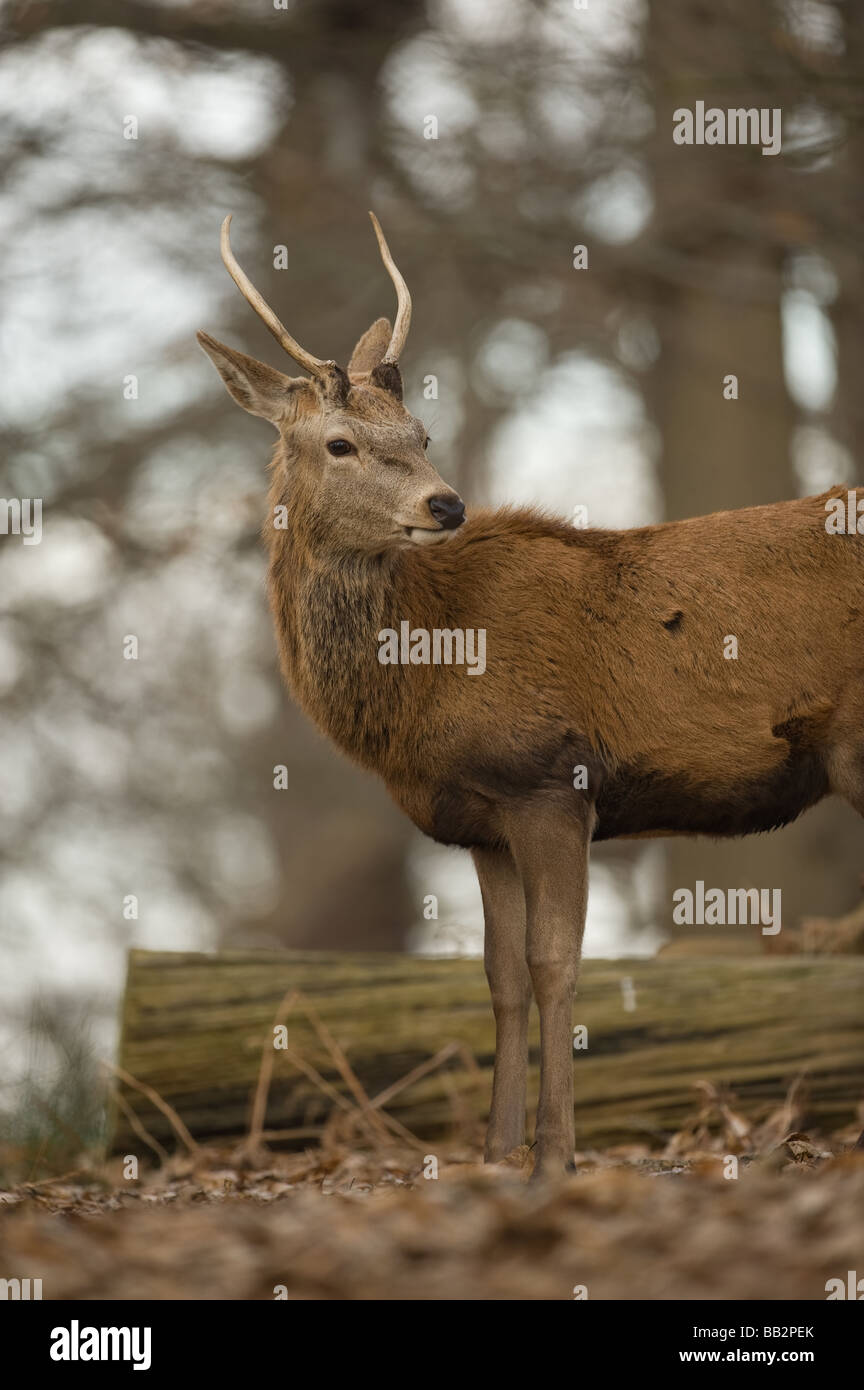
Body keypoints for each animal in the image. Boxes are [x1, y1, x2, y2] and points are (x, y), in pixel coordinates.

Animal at [198, 214, 864, 1180]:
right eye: (339, 442)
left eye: (423, 430)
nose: (445, 505)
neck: (426, 671)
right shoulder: (482, 820)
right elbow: (501, 976)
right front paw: (494, 1153)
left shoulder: (552, 778)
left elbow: (556, 965)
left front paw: (556, 1158)